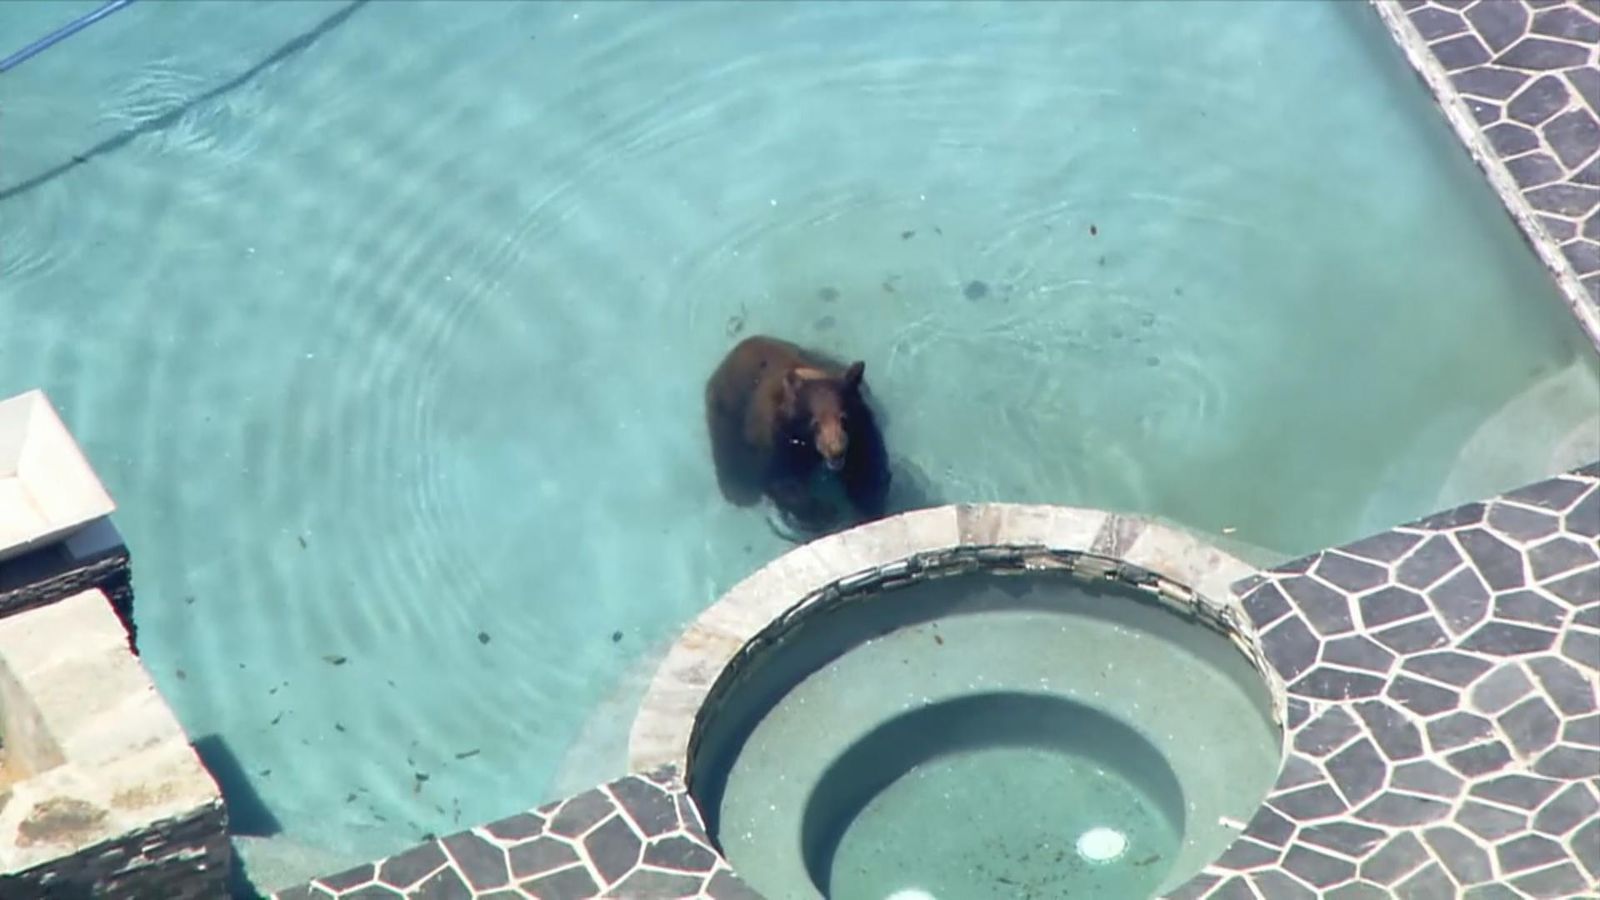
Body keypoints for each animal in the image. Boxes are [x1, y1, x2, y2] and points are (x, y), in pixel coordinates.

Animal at [705, 335, 891, 533]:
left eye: (844, 418)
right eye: (815, 424)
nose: (836, 451)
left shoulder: (860, 430)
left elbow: (866, 465)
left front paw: (867, 506)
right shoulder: (777, 440)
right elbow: (781, 480)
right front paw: (825, 513)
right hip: (727, 415)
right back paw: (737, 490)